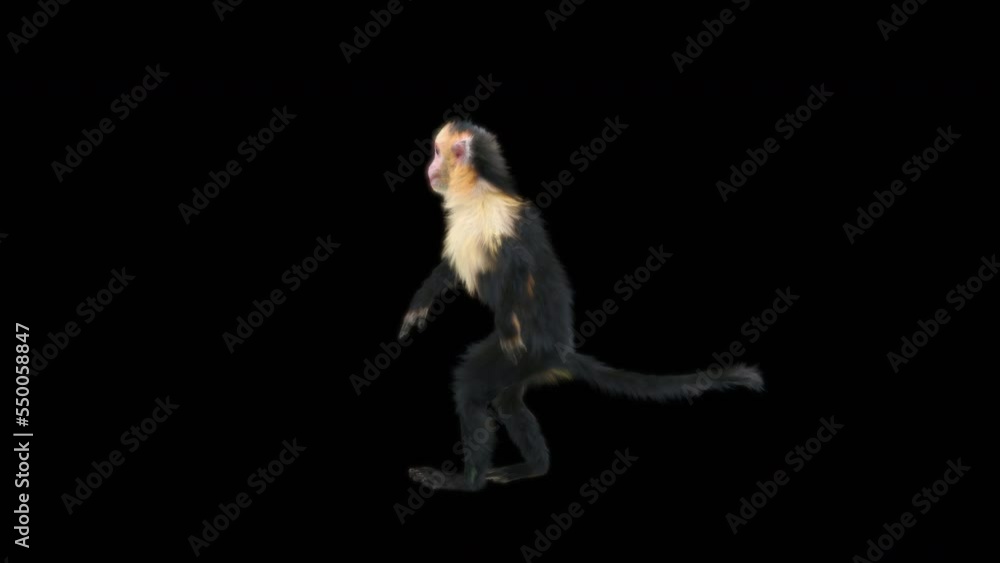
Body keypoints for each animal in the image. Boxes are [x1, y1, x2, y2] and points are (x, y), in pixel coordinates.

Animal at [400, 120, 764, 492]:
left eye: (437, 153)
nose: (429, 167)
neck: (477, 193)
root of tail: (557, 351)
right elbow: (449, 269)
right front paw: (420, 305)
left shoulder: (499, 219)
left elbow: (518, 271)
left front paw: (508, 328)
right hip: (529, 366)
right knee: (507, 402)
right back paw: (533, 467)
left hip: (527, 354)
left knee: (472, 387)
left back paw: (468, 482)